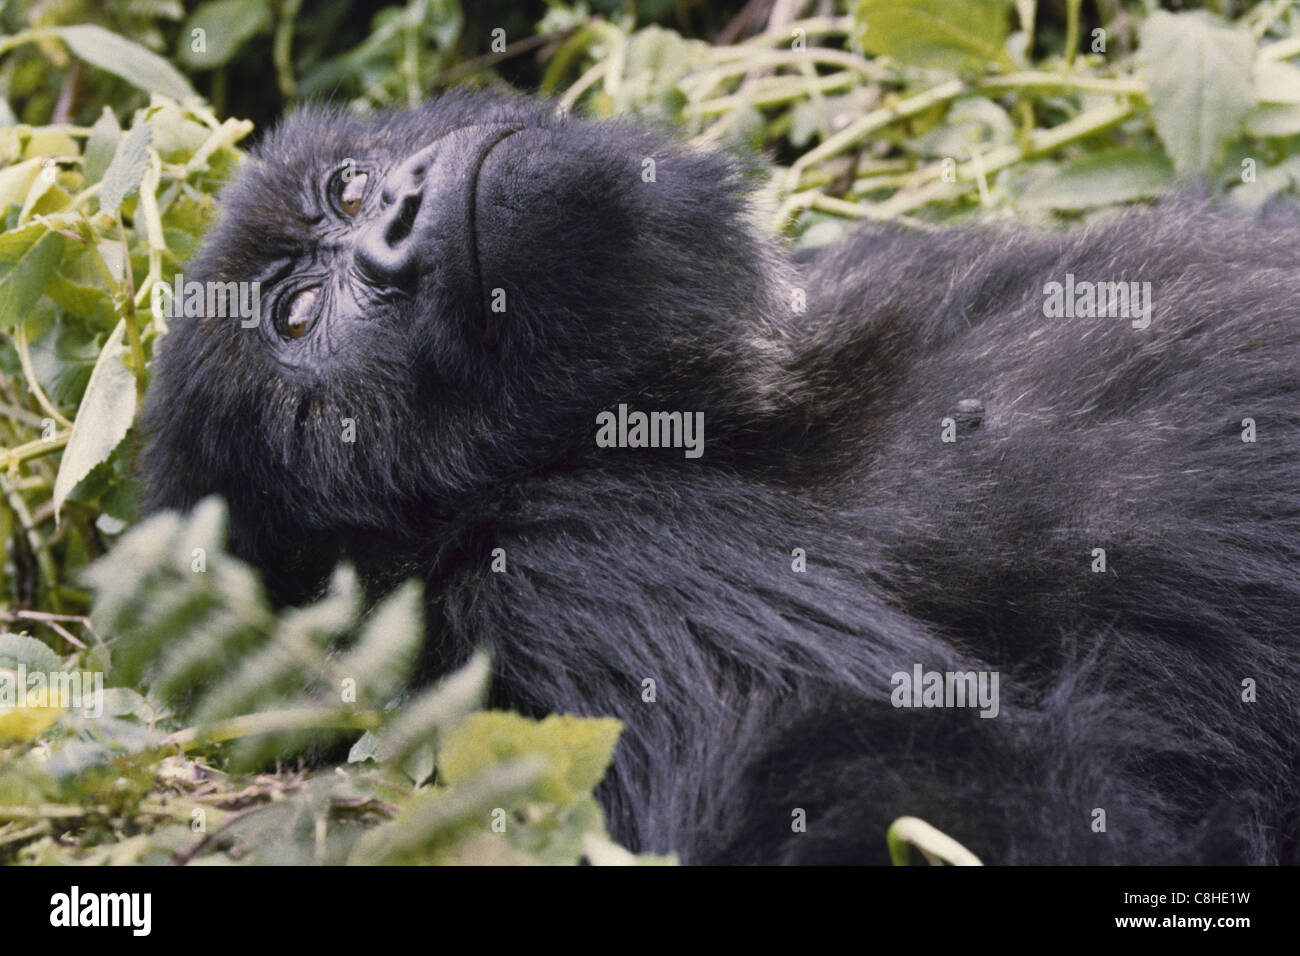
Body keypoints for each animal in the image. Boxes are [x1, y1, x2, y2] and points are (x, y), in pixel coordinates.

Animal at [139, 89, 1300, 864]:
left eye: (345, 188)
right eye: (297, 317)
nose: (398, 213)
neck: (727, 412)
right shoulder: (566, 576)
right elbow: (907, 794)